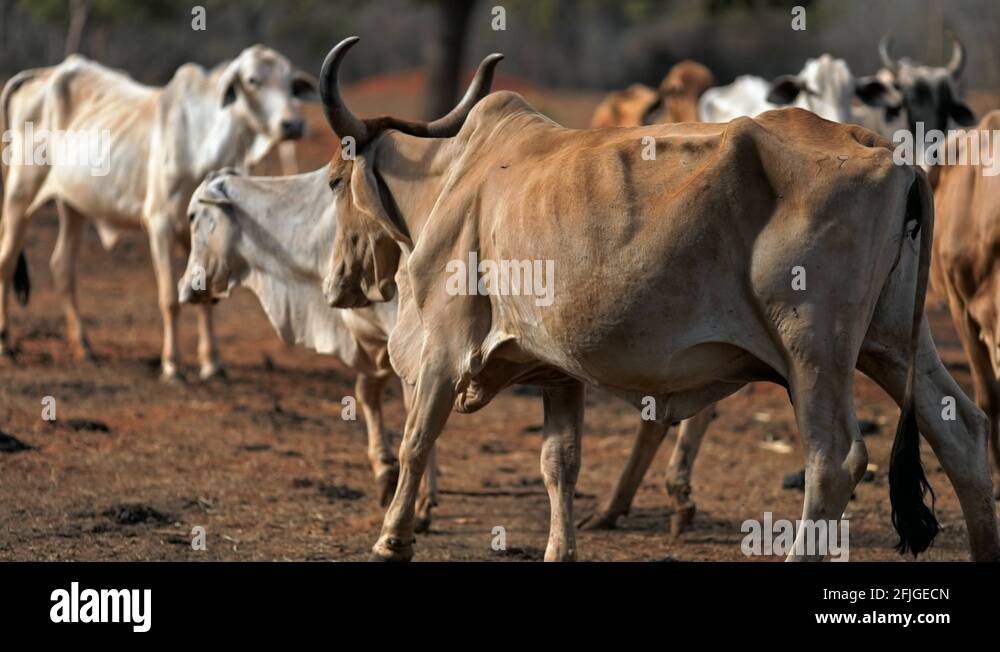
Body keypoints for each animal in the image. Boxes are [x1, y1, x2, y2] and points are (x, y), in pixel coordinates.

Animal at [0, 46, 317, 380]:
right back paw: (6, 343)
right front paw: (172, 364)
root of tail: (43, 73)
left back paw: (83, 346)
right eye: (253, 80)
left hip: (73, 205)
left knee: (62, 267)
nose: (293, 124)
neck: (205, 140)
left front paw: (212, 363)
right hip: (20, 193)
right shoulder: (160, 224)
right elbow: (169, 299)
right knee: (7, 261)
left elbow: (205, 297)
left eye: (290, 83)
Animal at [177, 167, 438, 526]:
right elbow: (368, 393)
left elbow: (415, 410)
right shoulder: (375, 336)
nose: (184, 287)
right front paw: (385, 472)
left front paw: (421, 504)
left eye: (192, 217)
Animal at [318, 37, 1000, 562]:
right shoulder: (557, 373)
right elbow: (559, 465)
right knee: (962, 433)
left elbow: (415, 441)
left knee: (833, 460)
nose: (335, 286)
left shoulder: (442, 350)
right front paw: (560, 548)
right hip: (892, 342)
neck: (452, 179)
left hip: (815, 351)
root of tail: (881, 148)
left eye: (333, 181)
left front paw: (392, 539)